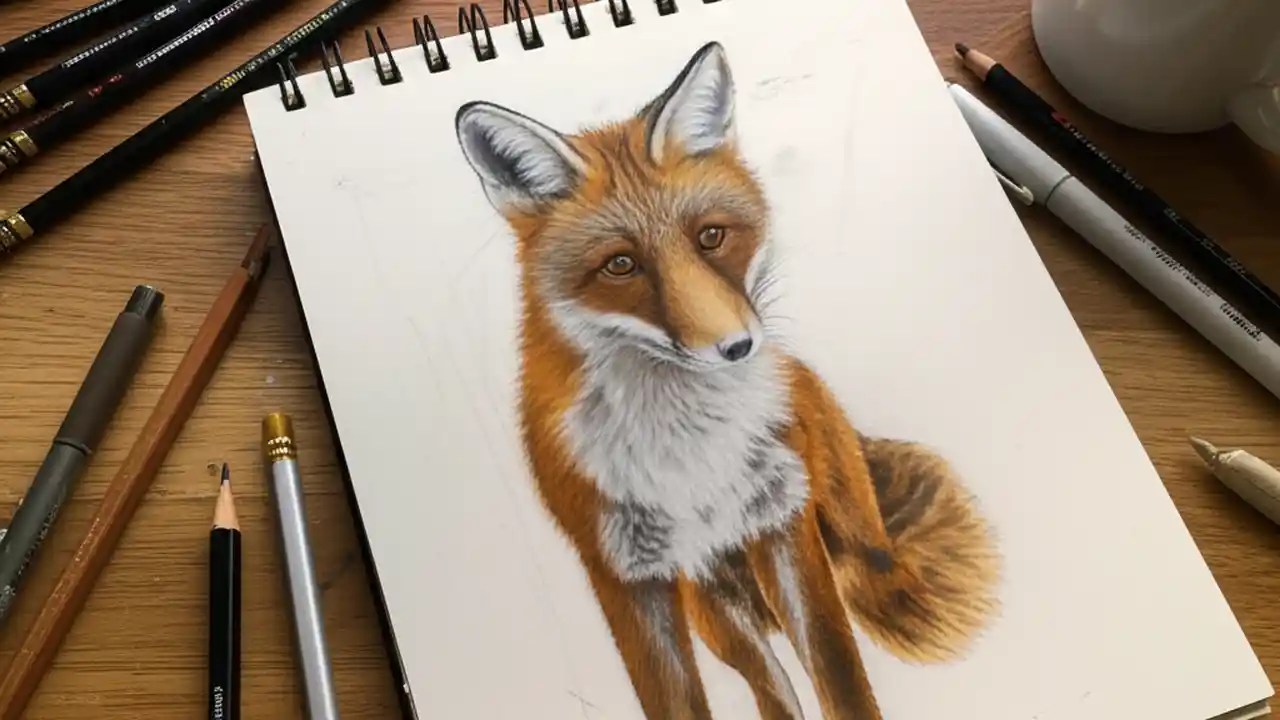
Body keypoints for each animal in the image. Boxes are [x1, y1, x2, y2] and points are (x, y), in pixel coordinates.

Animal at [454, 41, 1000, 720]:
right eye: (621, 265)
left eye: (711, 236)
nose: (737, 347)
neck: (690, 457)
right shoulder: (625, 578)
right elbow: (678, 701)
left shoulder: (785, 527)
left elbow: (842, 680)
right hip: (717, 611)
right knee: (770, 686)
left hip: (859, 550)